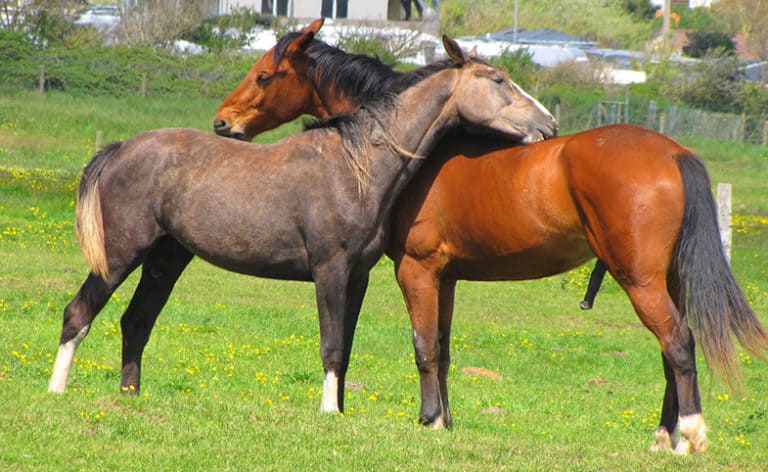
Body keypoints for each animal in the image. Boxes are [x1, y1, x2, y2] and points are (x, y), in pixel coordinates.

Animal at [48, 36, 558, 418]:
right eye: (498, 80)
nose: (549, 125)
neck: (356, 166)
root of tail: (121, 148)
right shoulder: (329, 270)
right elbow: (331, 346)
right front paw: (329, 413)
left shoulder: (357, 278)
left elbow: (345, 348)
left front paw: (342, 411)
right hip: (120, 255)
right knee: (79, 313)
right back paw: (56, 391)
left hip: (166, 258)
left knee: (136, 322)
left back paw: (129, 397)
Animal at [213, 20, 768, 454]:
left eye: (264, 75)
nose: (222, 122)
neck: (420, 150)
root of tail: (673, 151)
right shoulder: (448, 278)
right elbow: (442, 348)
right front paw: (445, 419)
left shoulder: (415, 269)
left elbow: (422, 345)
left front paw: (429, 420)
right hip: (665, 280)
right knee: (670, 352)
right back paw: (663, 436)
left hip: (640, 281)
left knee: (678, 342)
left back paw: (688, 437)